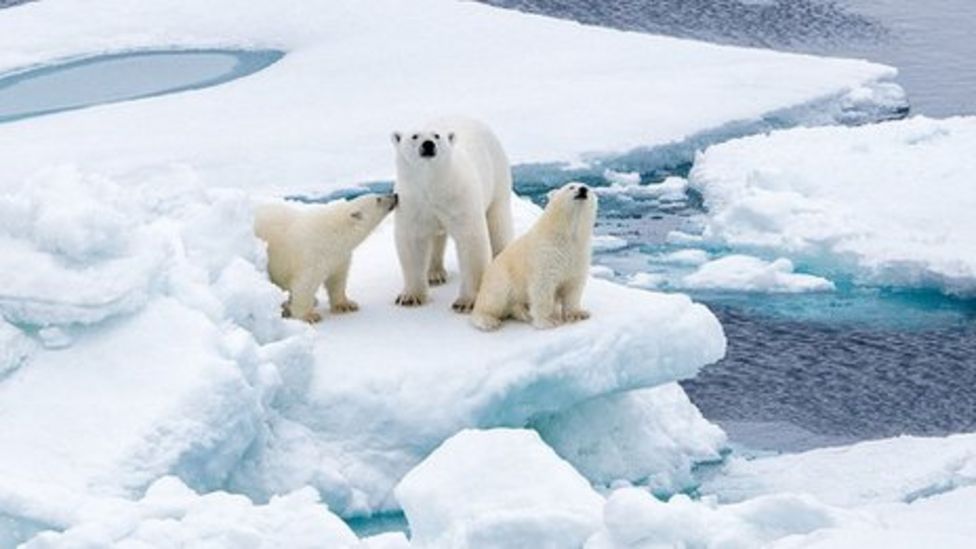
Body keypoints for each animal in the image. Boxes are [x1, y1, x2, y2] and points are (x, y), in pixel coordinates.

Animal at [254, 193, 397, 323]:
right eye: (378, 199)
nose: (395, 195)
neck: (334, 234)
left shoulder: (340, 257)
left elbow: (337, 280)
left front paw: (346, 305)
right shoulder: (311, 255)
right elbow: (305, 285)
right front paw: (309, 316)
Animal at [391, 117, 514, 313]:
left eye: (436, 135)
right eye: (415, 136)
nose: (428, 144)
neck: (433, 186)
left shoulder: (459, 196)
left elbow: (471, 240)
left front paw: (467, 302)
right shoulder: (412, 201)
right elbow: (412, 242)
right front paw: (409, 297)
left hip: (497, 175)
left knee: (498, 224)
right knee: (436, 236)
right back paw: (434, 274)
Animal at [471, 182, 597, 331]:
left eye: (589, 187)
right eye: (571, 187)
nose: (583, 189)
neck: (565, 237)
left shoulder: (579, 255)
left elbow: (574, 286)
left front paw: (579, 314)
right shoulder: (546, 253)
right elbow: (542, 286)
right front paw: (547, 321)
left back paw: (523, 311)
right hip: (501, 277)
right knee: (494, 297)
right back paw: (488, 320)